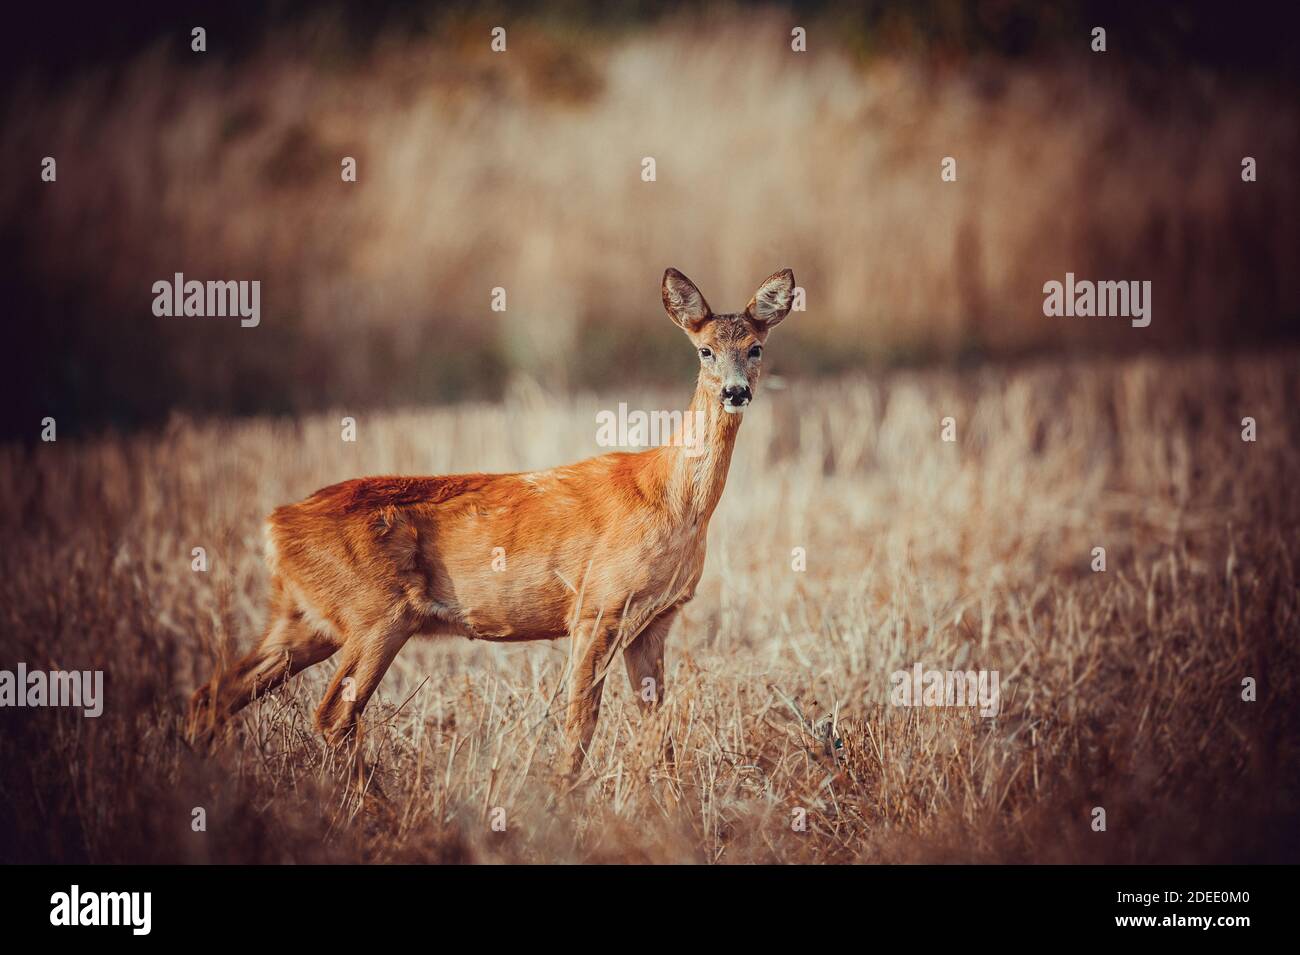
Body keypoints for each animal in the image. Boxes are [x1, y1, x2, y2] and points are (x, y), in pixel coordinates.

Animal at [187, 267, 796, 787]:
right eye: (704, 350)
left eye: (757, 347)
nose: (736, 391)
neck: (671, 498)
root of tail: (275, 523)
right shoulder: (597, 606)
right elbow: (580, 724)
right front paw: (561, 799)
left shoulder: (654, 622)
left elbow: (659, 734)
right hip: (376, 611)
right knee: (331, 712)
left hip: (305, 618)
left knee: (213, 693)